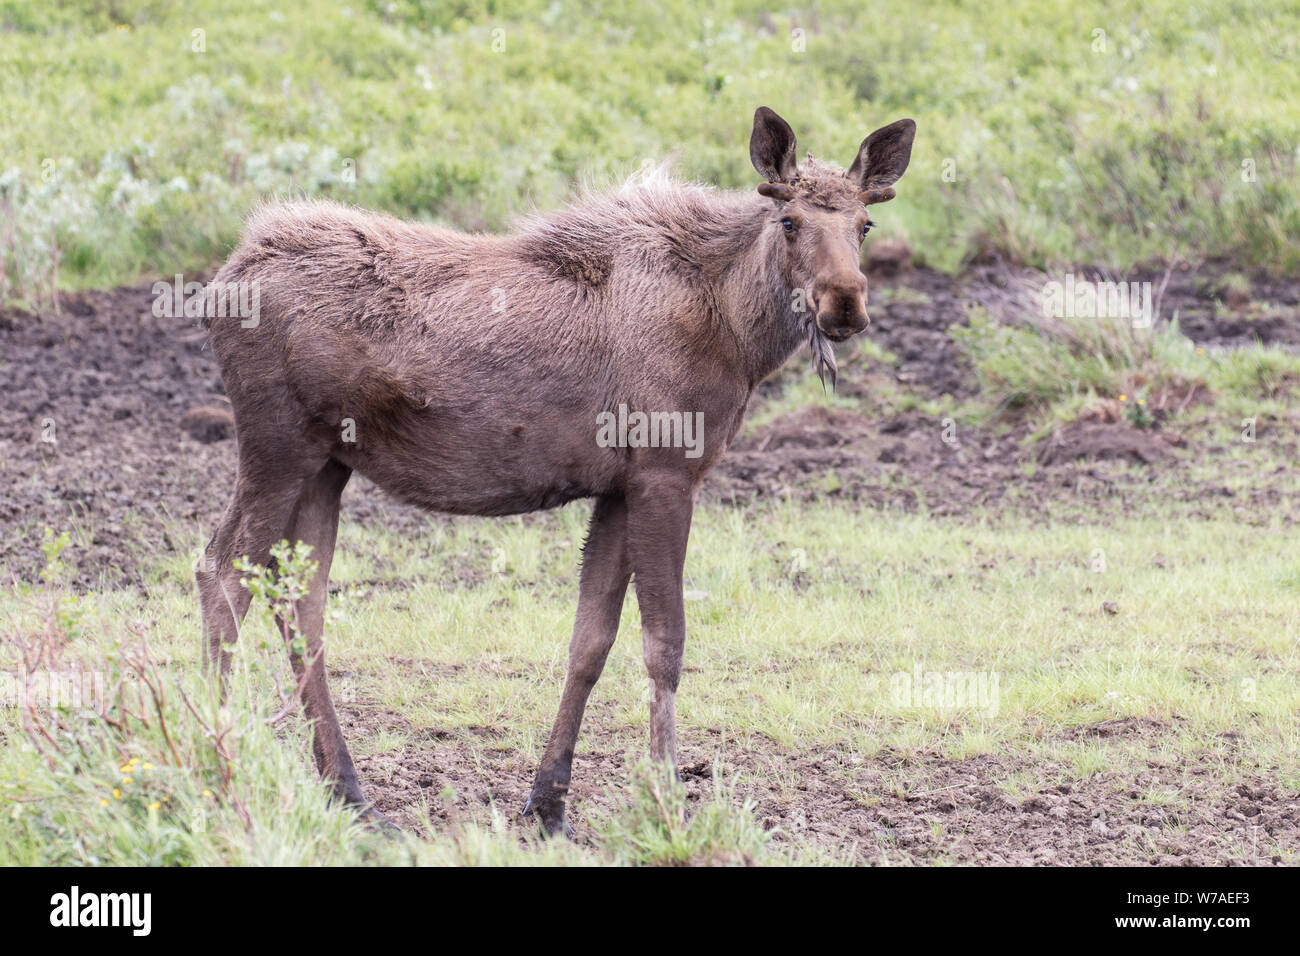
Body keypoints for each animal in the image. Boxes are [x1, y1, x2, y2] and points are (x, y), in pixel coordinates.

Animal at [196, 107, 915, 836]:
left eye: (865, 224)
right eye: (790, 220)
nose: (844, 302)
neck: (739, 335)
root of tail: (224, 279)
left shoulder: (619, 487)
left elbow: (590, 641)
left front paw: (547, 802)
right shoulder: (665, 473)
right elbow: (665, 643)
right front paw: (665, 801)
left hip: (326, 464)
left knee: (299, 601)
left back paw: (350, 792)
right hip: (276, 447)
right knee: (221, 573)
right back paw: (219, 773)